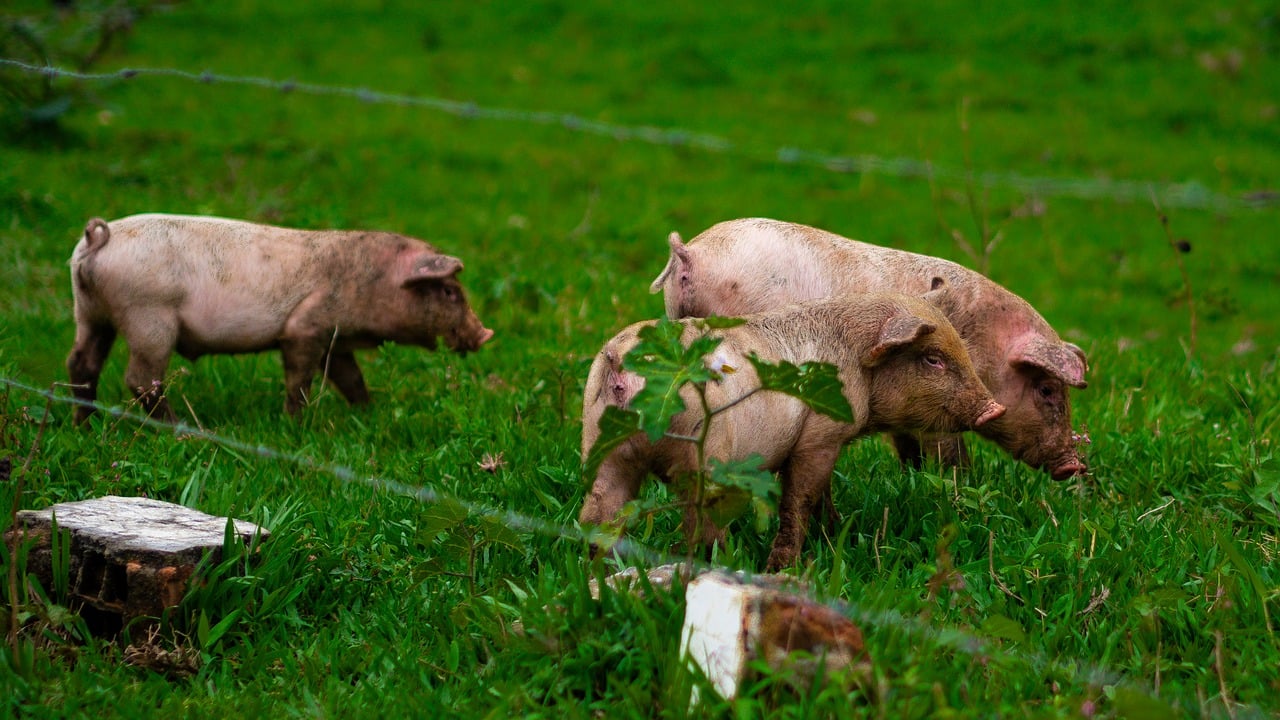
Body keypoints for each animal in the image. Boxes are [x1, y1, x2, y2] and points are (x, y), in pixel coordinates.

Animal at [67, 214, 493, 422]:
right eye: (450, 291)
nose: (486, 334)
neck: (373, 278)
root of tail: (97, 239)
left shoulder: (334, 338)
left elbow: (351, 378)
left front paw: (368, 413)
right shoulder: (305, 328)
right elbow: (299, 380)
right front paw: (294, 424)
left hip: (90, 313)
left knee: (81, 363)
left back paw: (84, 423)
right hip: (149, 318)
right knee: (140, 379)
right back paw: (183, 431)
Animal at [578, 293, 1005, 571]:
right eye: (932, 359)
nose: (994, 409)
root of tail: (622, 362)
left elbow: (820, 495)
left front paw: (835, 532)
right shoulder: (820, 436)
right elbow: (800, 497)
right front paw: (786, 567)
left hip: (601, 444)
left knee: (599, 510)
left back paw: (598, 569)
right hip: (704, 459)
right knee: (699, 522)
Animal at [650, 218, 1088, 481]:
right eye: (1047, 389)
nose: (1074, 465)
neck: (981, 343)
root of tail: (690, 253)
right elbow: (949, 453)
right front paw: (958, 486)